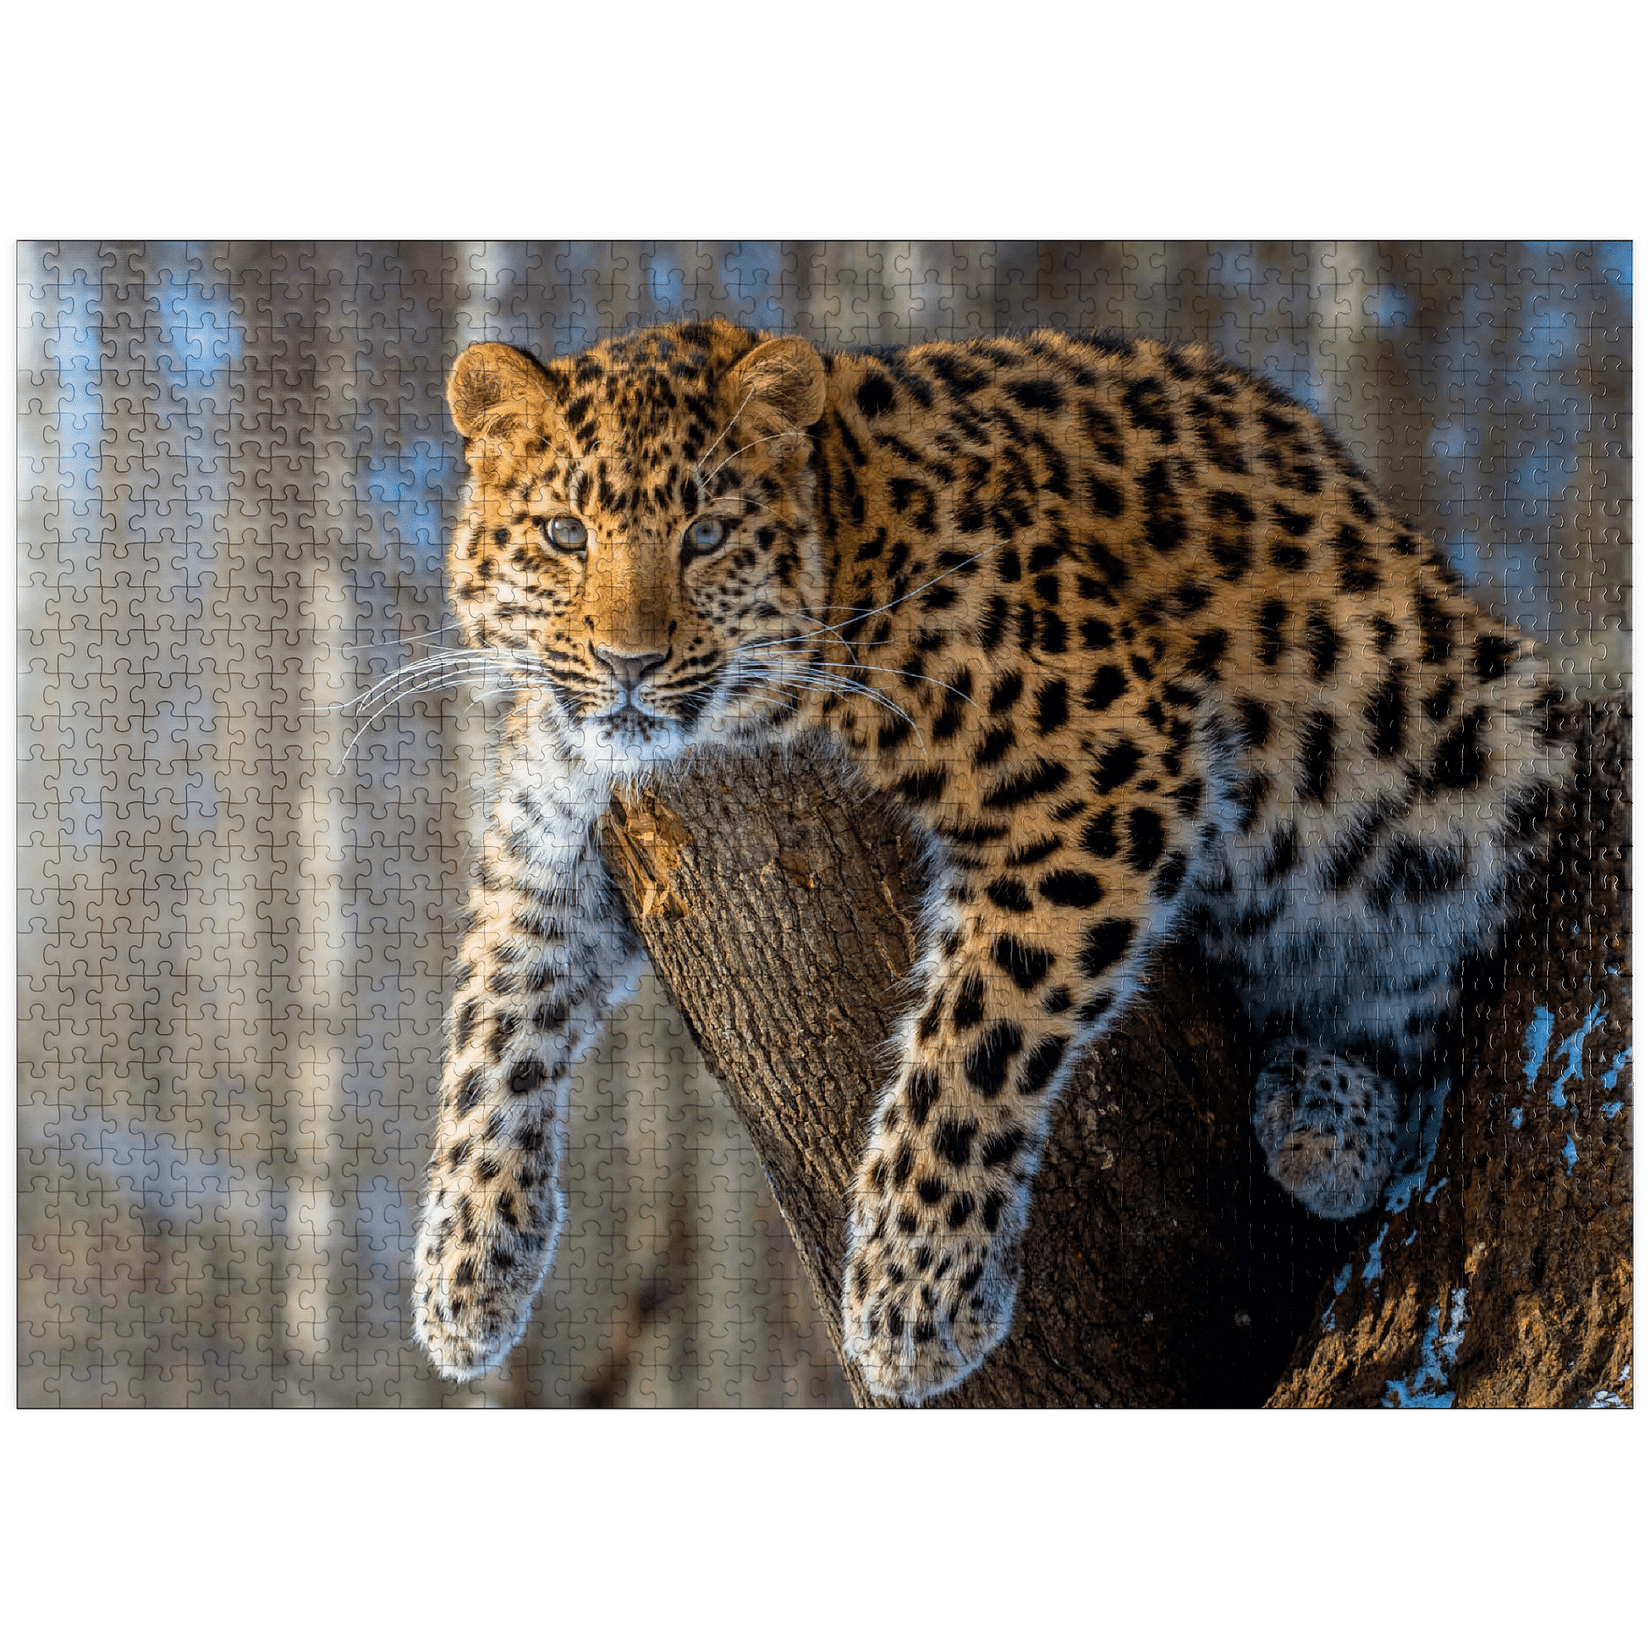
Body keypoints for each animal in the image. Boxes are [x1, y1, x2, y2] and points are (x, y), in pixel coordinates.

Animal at [407, 318, 1568, 1404]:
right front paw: (462, 1274)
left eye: (706, 535)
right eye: (563, 534)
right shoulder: (550, 826)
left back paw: (1331, 1118)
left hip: (1486, 751)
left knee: (1416, 1013)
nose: (629, 664)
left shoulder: (1114, 766)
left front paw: (911, 1299)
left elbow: (981, 1024)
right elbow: (492, 1019)